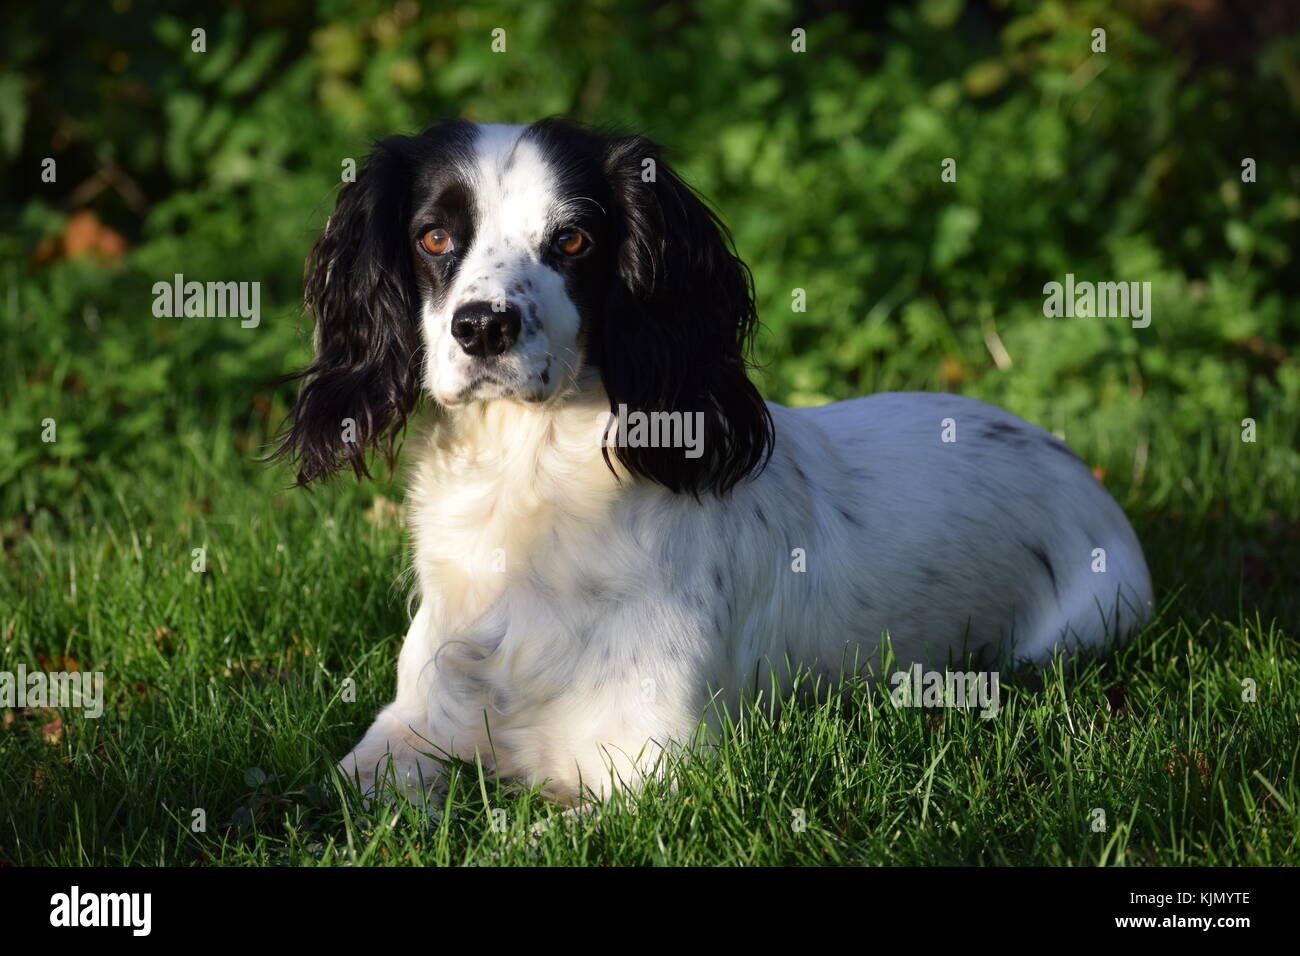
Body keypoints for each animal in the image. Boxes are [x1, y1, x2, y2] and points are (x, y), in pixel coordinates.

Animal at [279, 115, 1154, 806]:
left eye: (572, 239)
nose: (484, 326)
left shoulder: (659, 769)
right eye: (434, 236)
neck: (529, 489)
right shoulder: (411, 726)